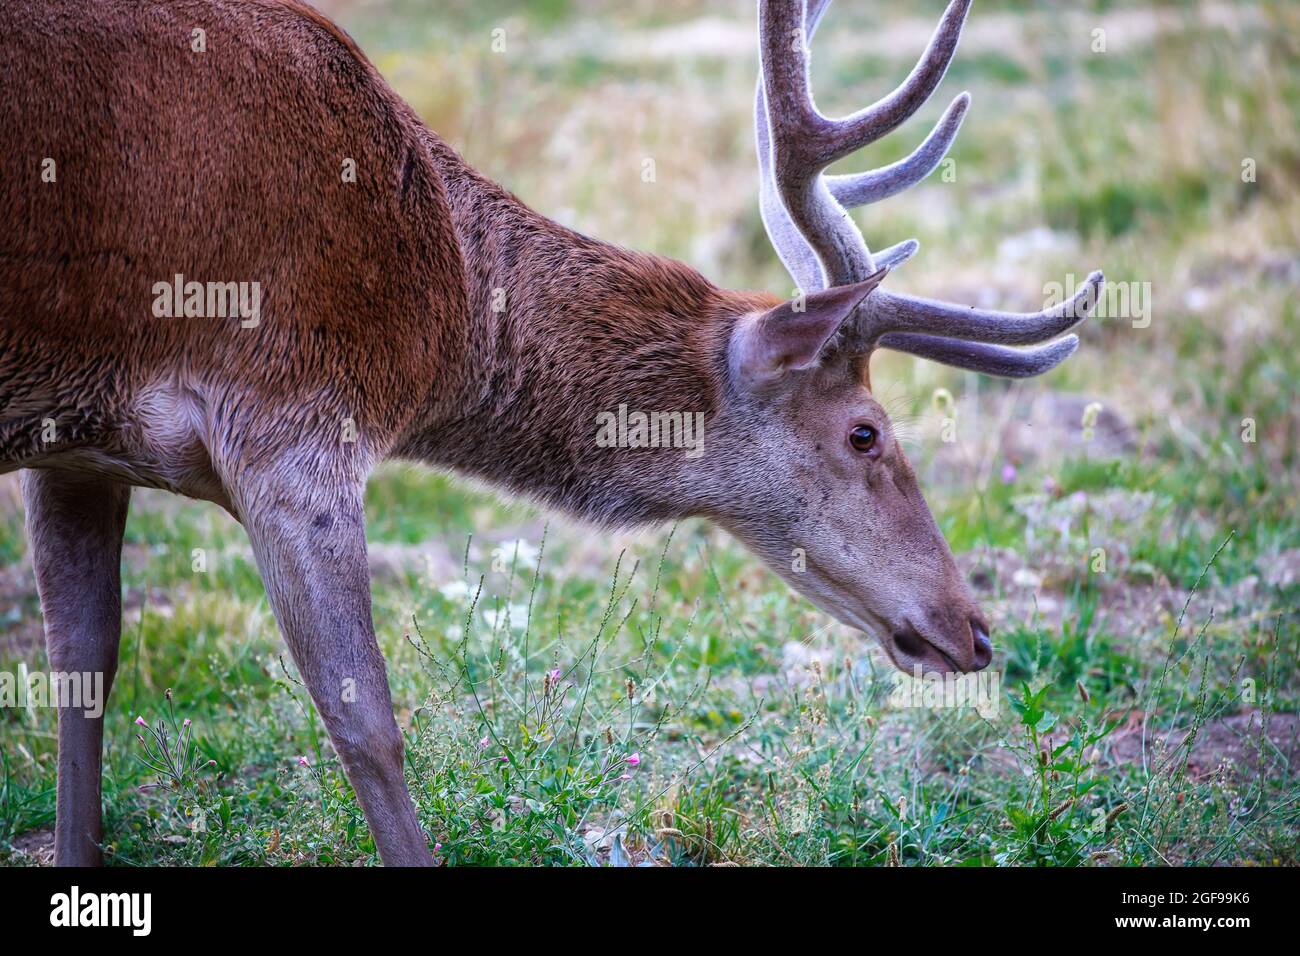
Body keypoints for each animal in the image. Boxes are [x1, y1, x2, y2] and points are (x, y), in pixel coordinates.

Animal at [0, 0, 1102, 866]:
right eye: (867, 432)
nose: (973, 629)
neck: (434, 312)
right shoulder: (290, 424)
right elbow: (368, 722)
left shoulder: (76, 445)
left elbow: (81, 675)